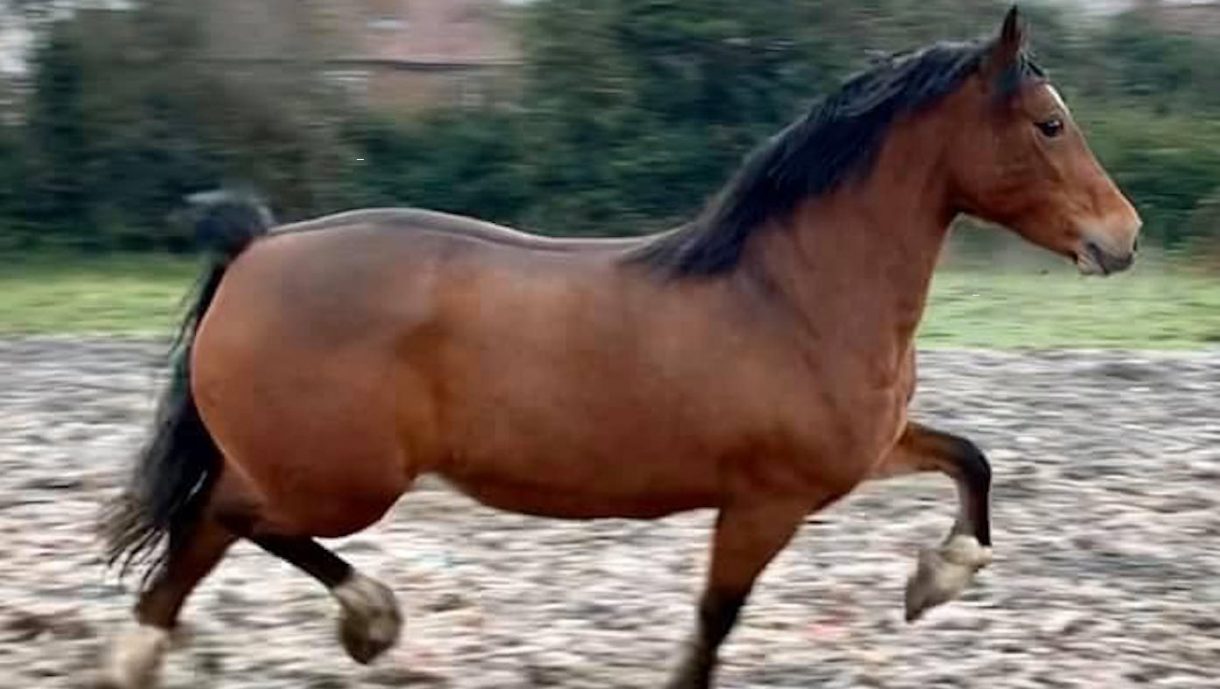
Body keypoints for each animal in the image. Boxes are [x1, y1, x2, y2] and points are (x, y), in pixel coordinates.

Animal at [97, 7, 1140, 688]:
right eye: (1050, 123)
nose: (1123, 238)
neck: (793, 294)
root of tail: (257, 249)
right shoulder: (767, 501)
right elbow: (714, 624)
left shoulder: (864, 453)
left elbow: (972, 460)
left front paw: (934, 581)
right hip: (342, 480)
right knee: (228, 518)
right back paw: (369, 617)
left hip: (307, 467)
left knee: (202, 534)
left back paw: (149, 656)